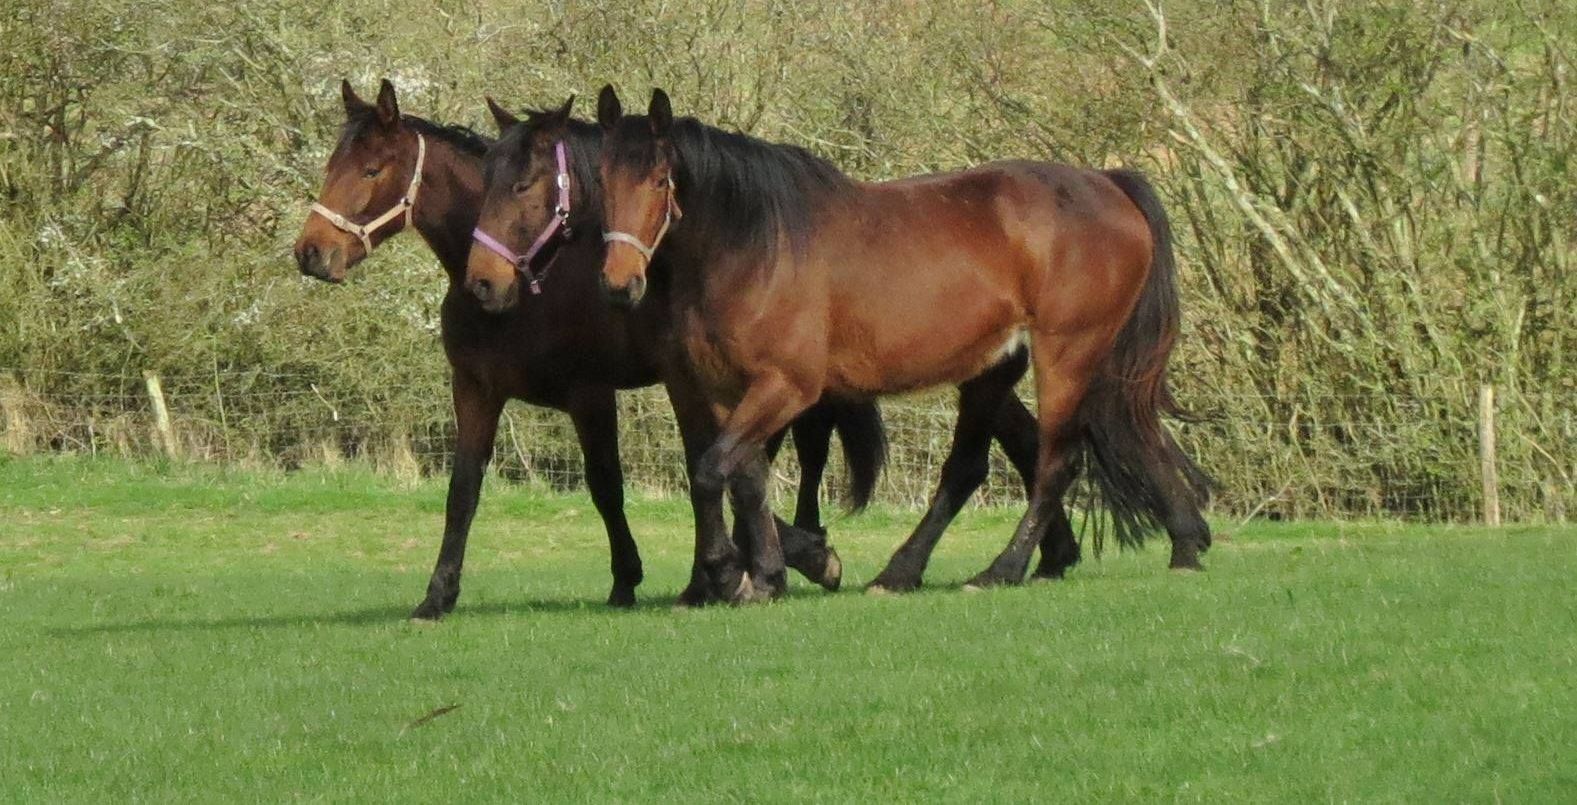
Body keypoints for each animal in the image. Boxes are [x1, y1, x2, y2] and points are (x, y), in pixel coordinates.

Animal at [292, 80, 882, 617]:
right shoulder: (476, 391)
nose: (310, 252)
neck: (535, 285)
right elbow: (463, 491)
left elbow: (607, 486)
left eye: (371, 171)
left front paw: (629, 578)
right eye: (332, 165)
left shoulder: (589, 394)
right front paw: (437, 596)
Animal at [588, 86, 1212, 601]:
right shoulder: (724, 391)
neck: (758, 247)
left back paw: (1001, 570)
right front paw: (765, 574)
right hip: (996, 367)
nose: (619, 283)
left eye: (660, 180)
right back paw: (903, 572)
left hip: (1069, 355)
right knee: (968, 470)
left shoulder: (787, 388)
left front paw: (733, 572)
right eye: (601, 181)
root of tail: (1108, 184)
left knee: (1056, 461)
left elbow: (712, 471)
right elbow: (743, 480)